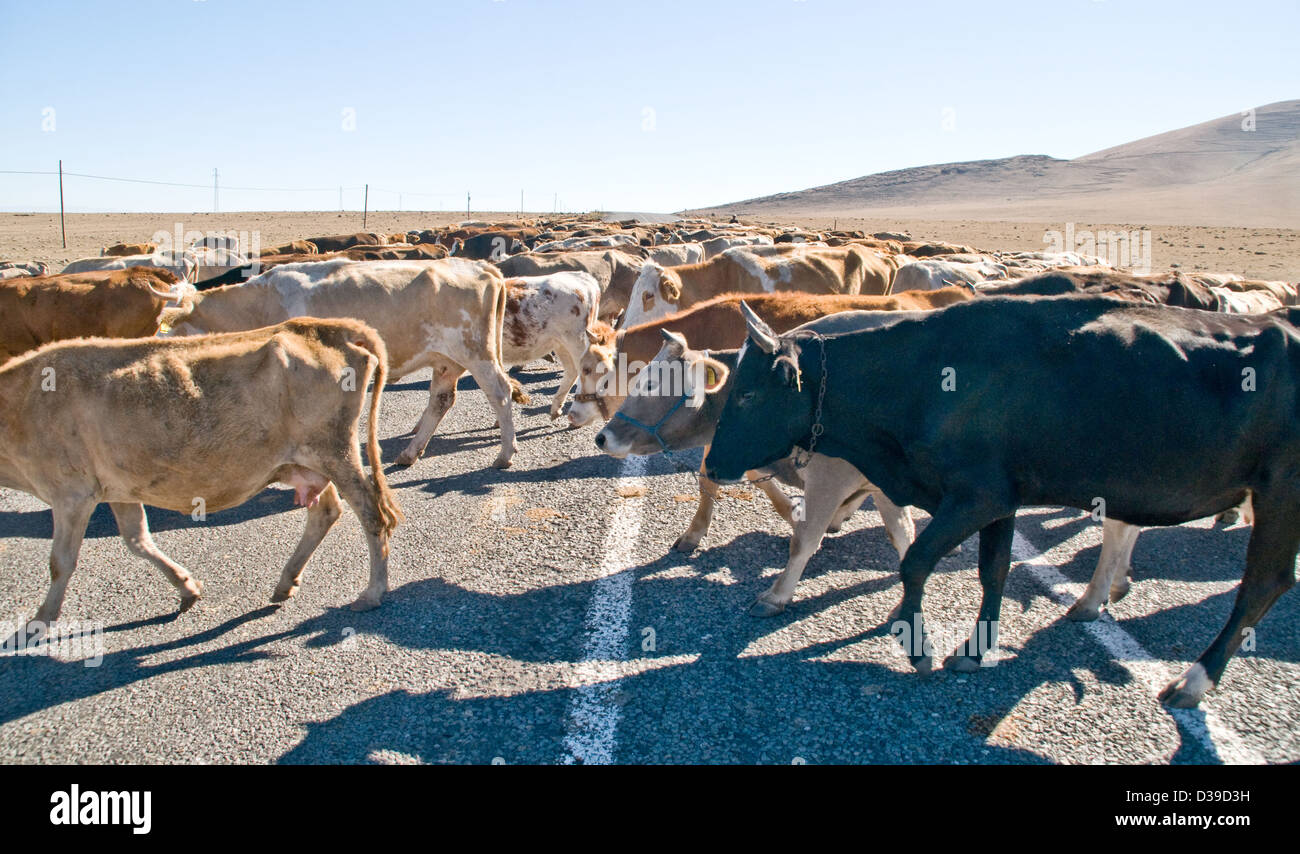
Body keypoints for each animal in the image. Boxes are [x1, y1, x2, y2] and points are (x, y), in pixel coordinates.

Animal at [0, 317, 403, 623]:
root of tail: (324, 326)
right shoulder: (117, 489)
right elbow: (138, 541)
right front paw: (187, 589)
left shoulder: (71, 492)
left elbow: (61, 561)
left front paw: (41, 619)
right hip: (305, 461)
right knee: (326, 512)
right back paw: (285, 582)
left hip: (335, 452)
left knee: (372, 515)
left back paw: (372, 592)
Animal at [164, 258, 518, 469]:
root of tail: (479, 267)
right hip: (445, 360)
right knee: (441, 400)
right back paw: (410, 452)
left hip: (475, 351)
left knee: (500, 392)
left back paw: (505, 453)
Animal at [704, 295, 1300, 708]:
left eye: (748, 393)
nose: (710, 464)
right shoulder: (1001, 499)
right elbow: (993, 569)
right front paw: (975, 648)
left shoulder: (976, 494)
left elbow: (914, 560)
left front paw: (920, 647)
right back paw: (1096, 601)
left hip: (1279, 493)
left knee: (1262, 584)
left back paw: (1193, 679)